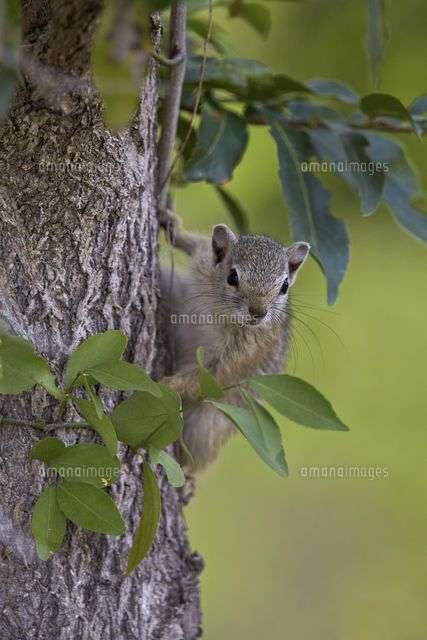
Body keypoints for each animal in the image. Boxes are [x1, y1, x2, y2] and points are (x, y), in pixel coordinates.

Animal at [160, 215, 310, 482]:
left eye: (284, 286)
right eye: (232, 276)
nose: (258, 313)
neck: (222, 310)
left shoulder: (247, 349)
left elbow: (211, 374)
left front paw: (166, 383)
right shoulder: (204, 262)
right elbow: (196, 245)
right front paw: (174, 227)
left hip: (209, 426)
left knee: (198, 457)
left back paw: (186, 473)